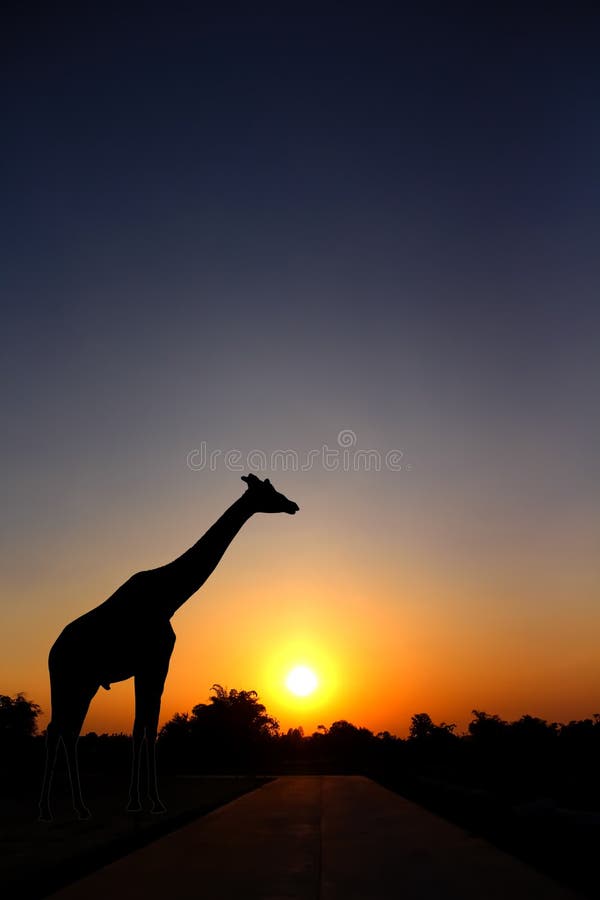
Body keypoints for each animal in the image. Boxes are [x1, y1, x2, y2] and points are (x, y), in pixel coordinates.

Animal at [38, 474, 299, 821]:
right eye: (268, 490)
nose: (293, 504)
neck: (170, 597)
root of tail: (52, 651)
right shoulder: (156, 662)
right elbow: (148, 728)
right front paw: (151, 802)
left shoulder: (147, 666)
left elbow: (142, 727)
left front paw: (139, 801)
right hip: (67, 679)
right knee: (58, 730)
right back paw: (49, 809)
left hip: (86, 684)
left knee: (66, 731)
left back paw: (76, 808)